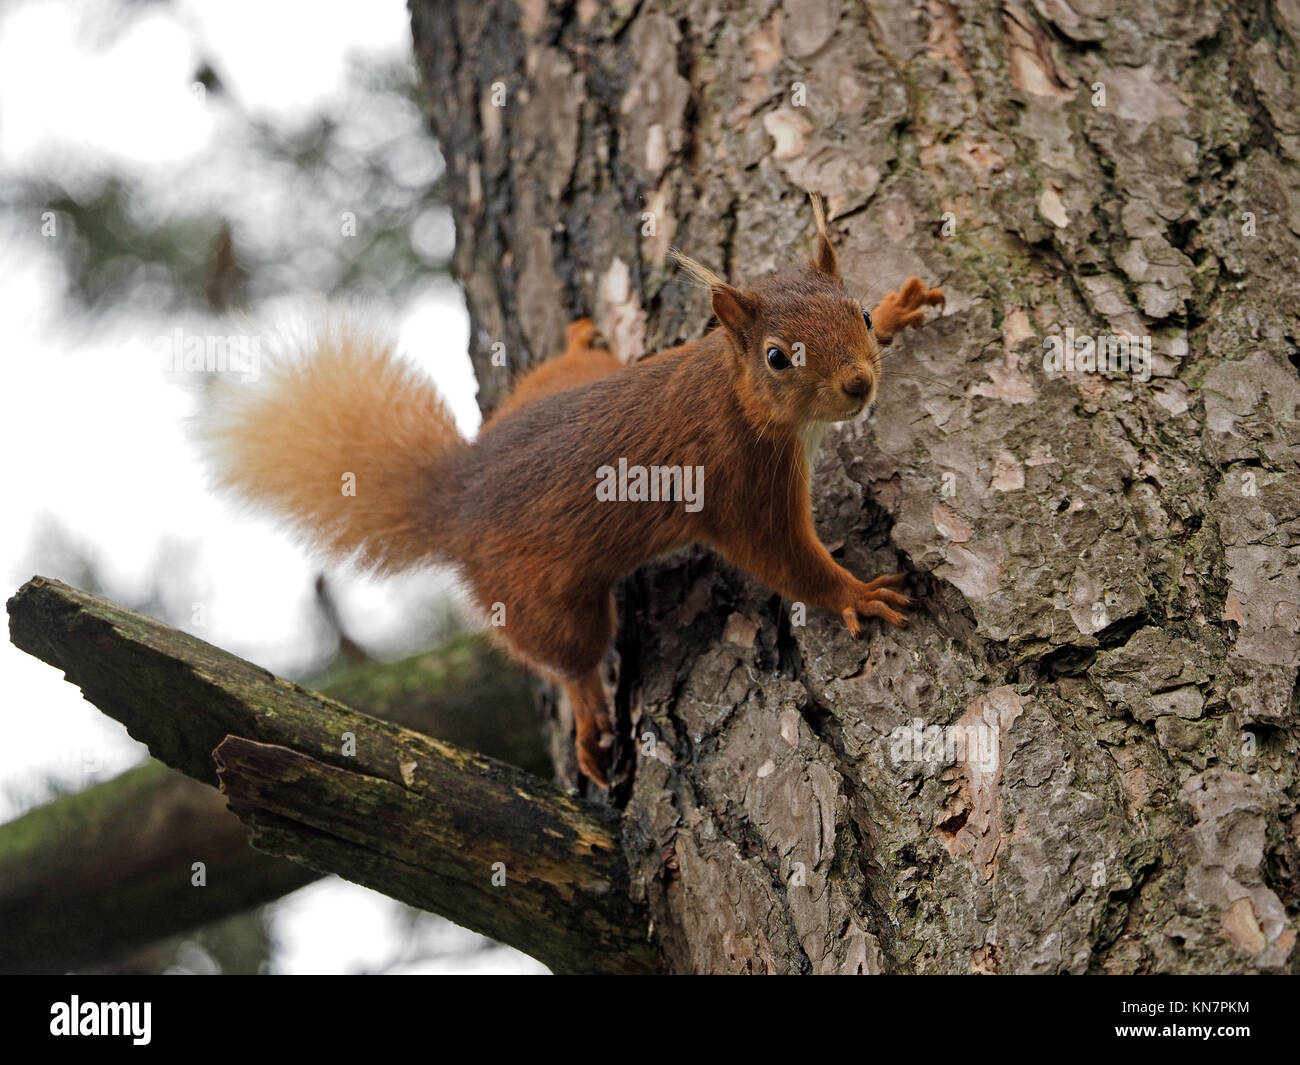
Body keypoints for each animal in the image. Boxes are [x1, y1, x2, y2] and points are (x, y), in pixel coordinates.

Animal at [201, 195, 944, 786]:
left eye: (855, 312)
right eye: (777, 357)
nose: (859, 384)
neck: (740, 394)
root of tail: (456, 497)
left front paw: (898, 310)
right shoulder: (739, 485)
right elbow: (785, 559)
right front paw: (855, 593)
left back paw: (576, 339)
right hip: (540, 598)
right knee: (571, 658)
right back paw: (588, 716)